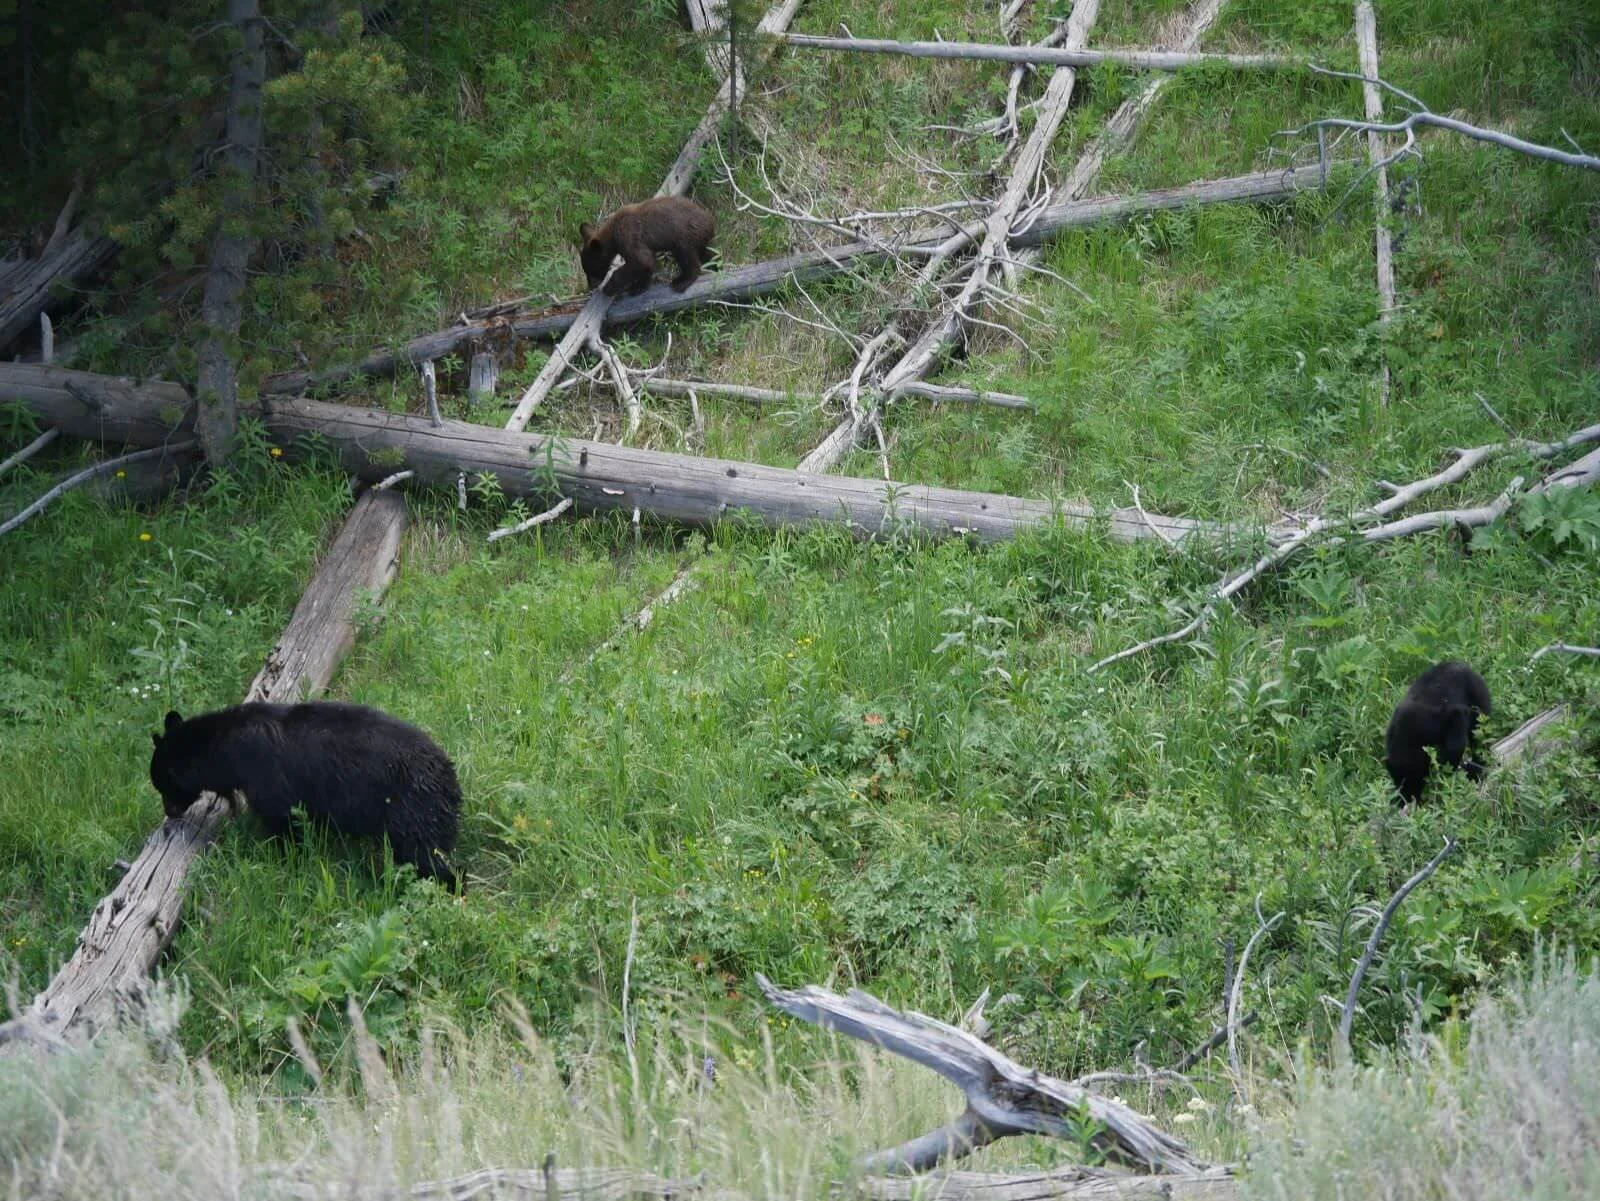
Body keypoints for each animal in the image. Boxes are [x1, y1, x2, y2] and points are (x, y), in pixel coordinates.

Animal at [150, 701, 463, 890]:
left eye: (163, 785)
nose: (170, 812)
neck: (228, 748)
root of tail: (450, 776)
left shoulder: (266, 774)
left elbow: (283, 821)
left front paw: (287, 859)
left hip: (412, 809)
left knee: (425, 856)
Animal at [579, 196, 716, 296]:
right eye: (585, 271)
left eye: (591, 270)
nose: (591, 287)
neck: (612, 234)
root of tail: (710, 222)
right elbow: (648, 263)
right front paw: (639, 286)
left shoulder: (628, 237)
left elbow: (640, 261)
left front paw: (610, 287)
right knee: (707, 252)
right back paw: (714, 265)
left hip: (686, 234)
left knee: (686, 255)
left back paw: (682, 281)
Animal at [1383, 660, 1493, 804]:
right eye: (1398, 783)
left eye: (1415, 781)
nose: (1408, 801)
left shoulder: (1432, 721)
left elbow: (1456, 727)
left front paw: (1448, 767)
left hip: (1478, 699)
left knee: (1479, 736)